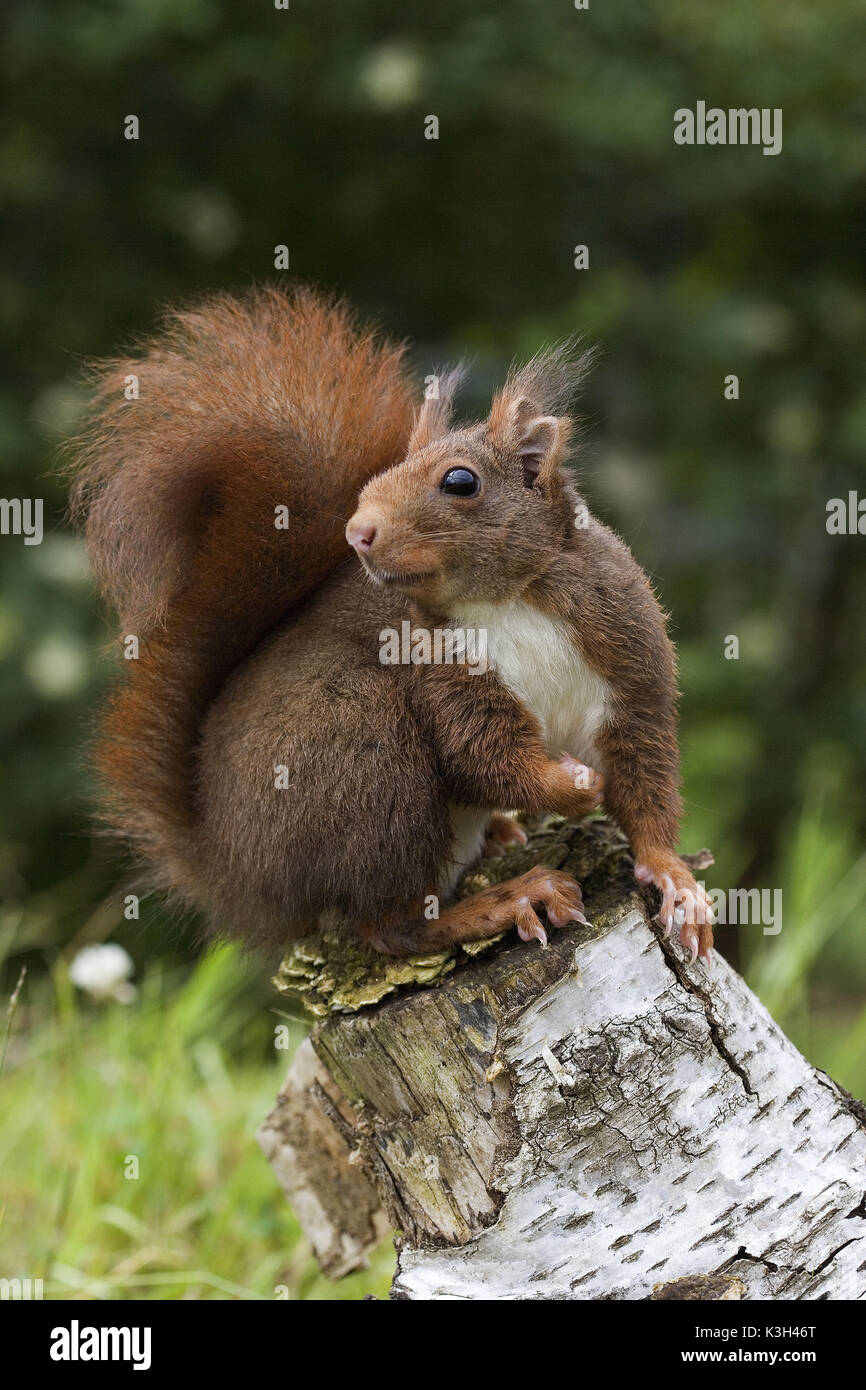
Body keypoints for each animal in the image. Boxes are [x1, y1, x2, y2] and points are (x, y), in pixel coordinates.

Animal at [70, 286, 714, 962]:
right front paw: (571, 786)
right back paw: (507, 900)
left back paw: (501, 840)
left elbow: (645, 775)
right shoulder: (438, 668)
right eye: (382, 474)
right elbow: (485, 754)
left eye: (460, 481)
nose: (357, 532)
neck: (509, 599)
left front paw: (675, 880)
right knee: (390, 924)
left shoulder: (626, 654)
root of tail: (234, 870)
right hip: (363, 758)